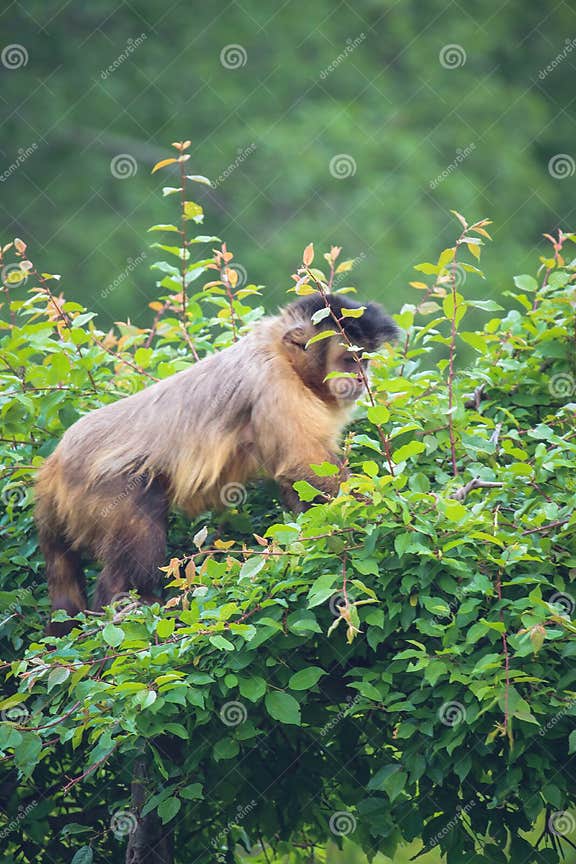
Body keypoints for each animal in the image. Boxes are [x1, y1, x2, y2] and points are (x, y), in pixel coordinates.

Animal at [35, 293, 397, 628]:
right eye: (350, 359)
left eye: (364, 360)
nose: (362, 378)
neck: (283, 355)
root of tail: (53, 465)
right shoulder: (275, 381)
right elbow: (301, 461)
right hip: (97, 484)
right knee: (141, 503)